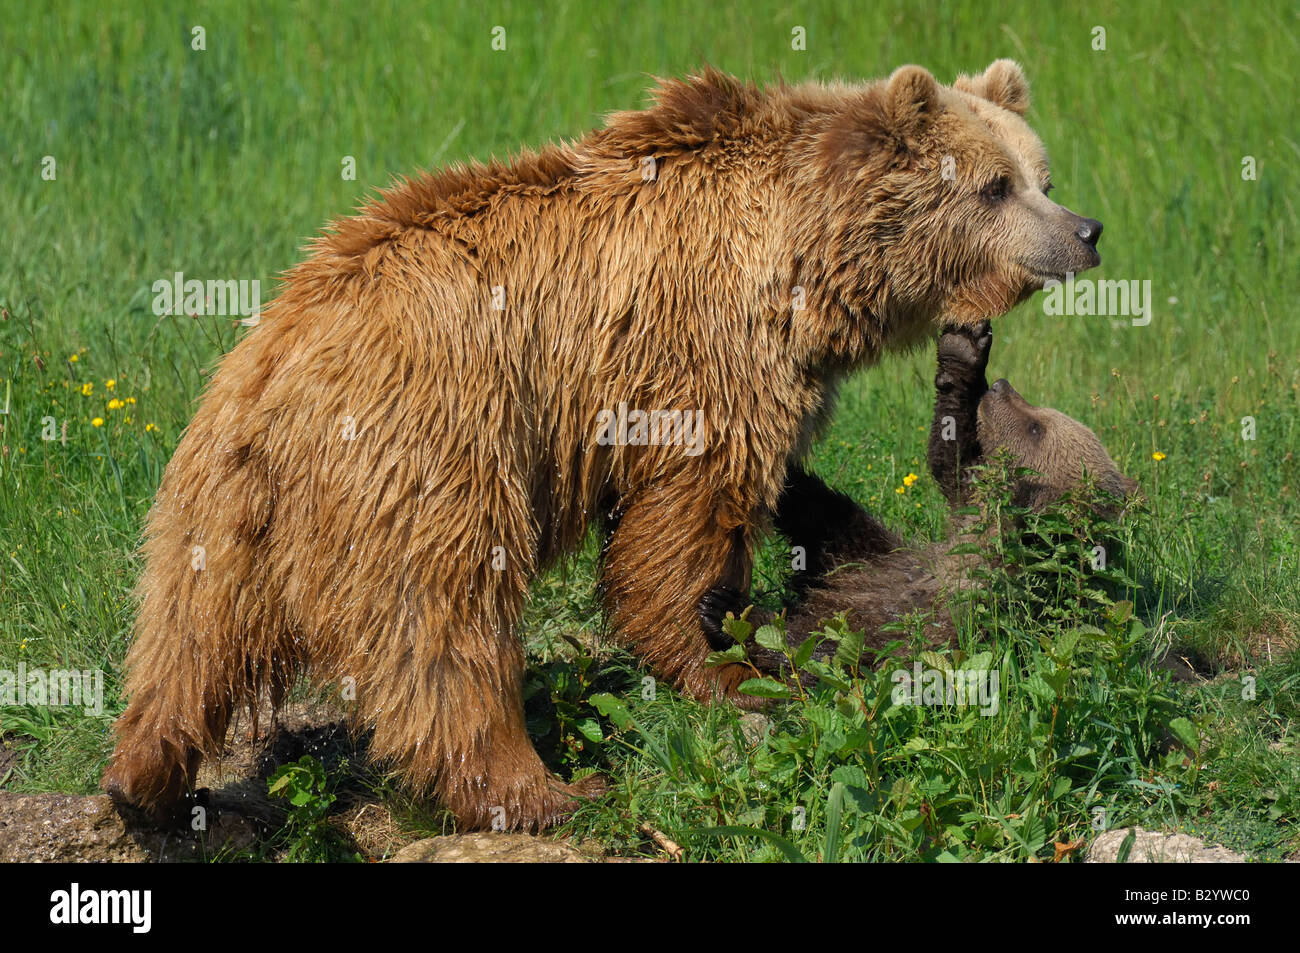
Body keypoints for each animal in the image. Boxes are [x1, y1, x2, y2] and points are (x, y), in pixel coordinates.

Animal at [758, 321, 1137, 673]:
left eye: (1036, 428)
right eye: (1039, 416)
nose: (1000, 386)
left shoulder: (986, 602)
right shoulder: (969, 506)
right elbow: (951, 457)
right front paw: (964, 351)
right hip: (875, 555)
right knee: (821, 511)